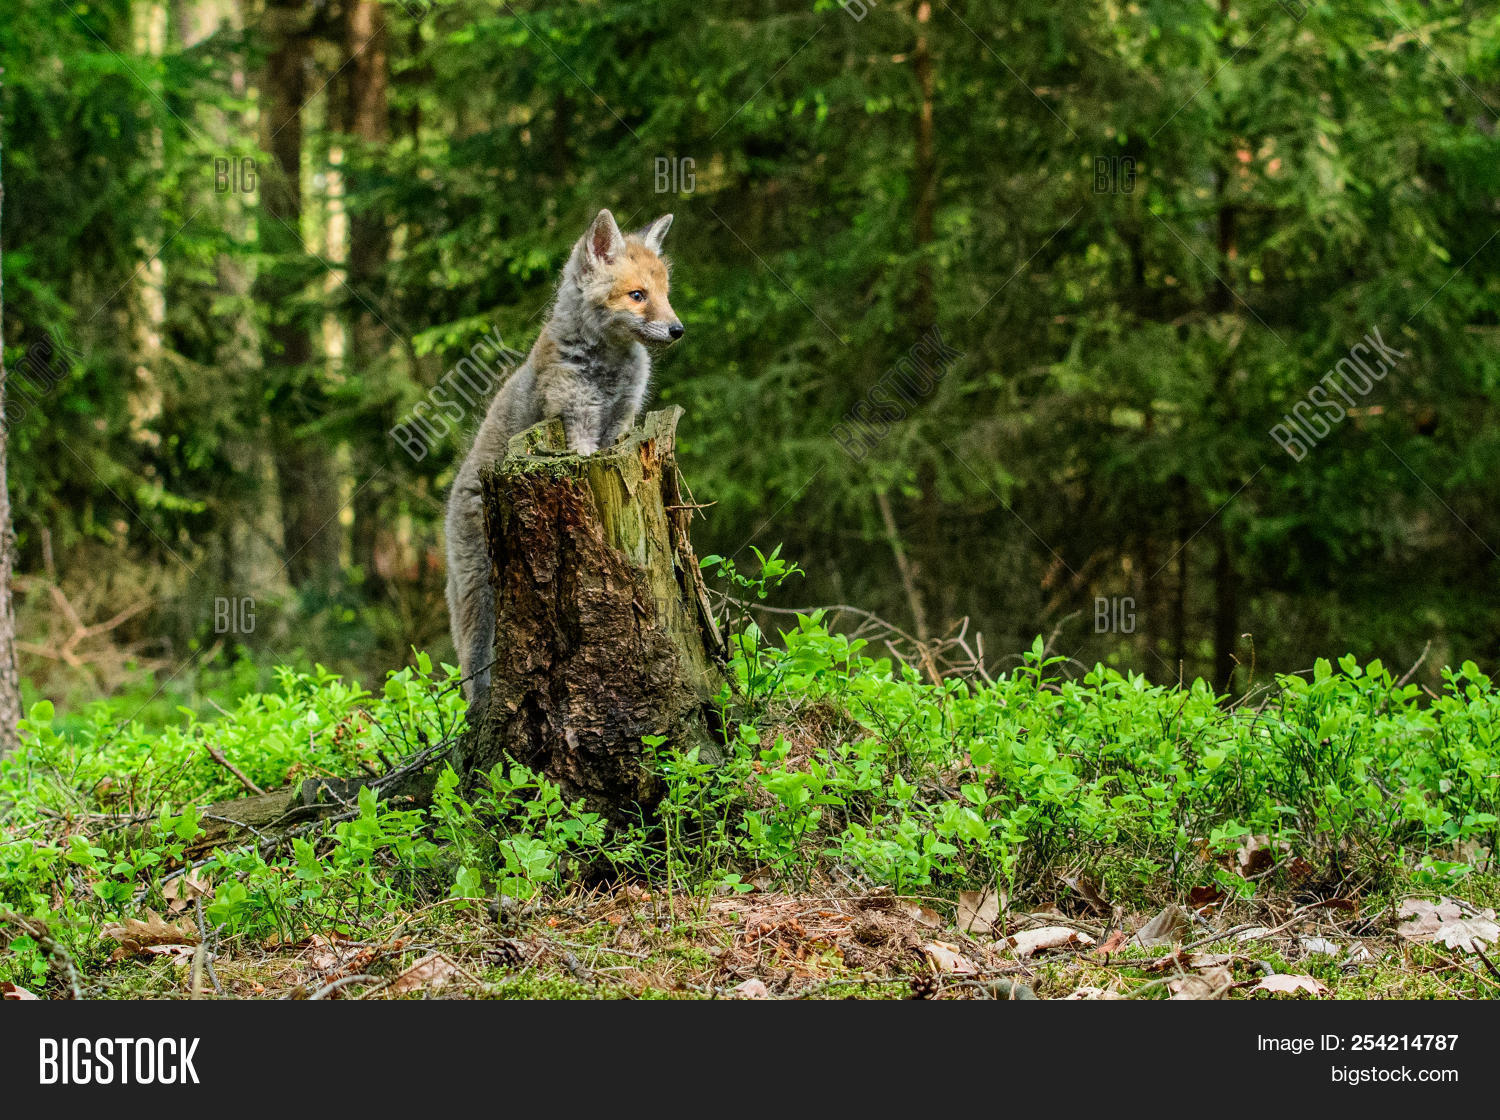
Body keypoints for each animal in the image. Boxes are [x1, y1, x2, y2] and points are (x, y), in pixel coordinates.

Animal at [445, 208, 683, 703]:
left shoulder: (619, 423)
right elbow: (583, 448)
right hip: (479, 597)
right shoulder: (578, 424)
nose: (678, 329)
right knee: (473, 673)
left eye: (666, 294)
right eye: (637, 296)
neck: (609, 370)